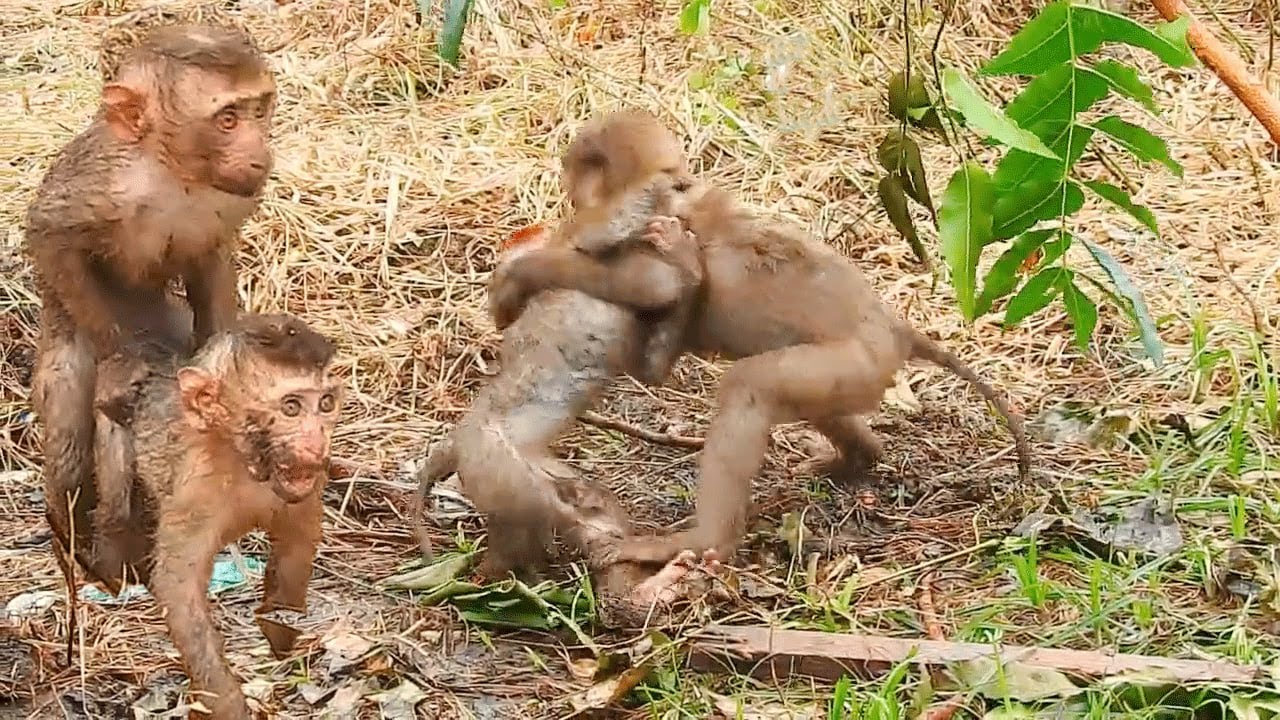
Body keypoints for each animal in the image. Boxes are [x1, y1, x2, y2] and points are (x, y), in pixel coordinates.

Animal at [25, 23, 277, 592]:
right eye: (227, 119)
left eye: (259, 109)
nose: (261, 150)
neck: (171, 172)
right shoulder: (103, 183)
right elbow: (51, 236)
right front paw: (124, 361)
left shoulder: (229, 198)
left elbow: (210, 260)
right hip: (64, 343)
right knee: (70, 438)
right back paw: (86, 552)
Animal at [75, 312, 341, 720]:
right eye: (292, 408)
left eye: (326, 403)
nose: (316, 441)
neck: (243, 460)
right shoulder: (195, 491)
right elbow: (179, 590)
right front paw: (229, 702)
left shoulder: (307, 481)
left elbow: (298, 540)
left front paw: (278, 630)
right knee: (116, 507)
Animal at [486, 114, 1033, 567]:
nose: (570, 190)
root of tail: (892, 326)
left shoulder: (631, 221)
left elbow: (652, 285)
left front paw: (521, 274)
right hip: (853, 376)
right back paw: (859, 457)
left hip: (857, 361)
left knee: (751, 386)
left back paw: (704, 540)